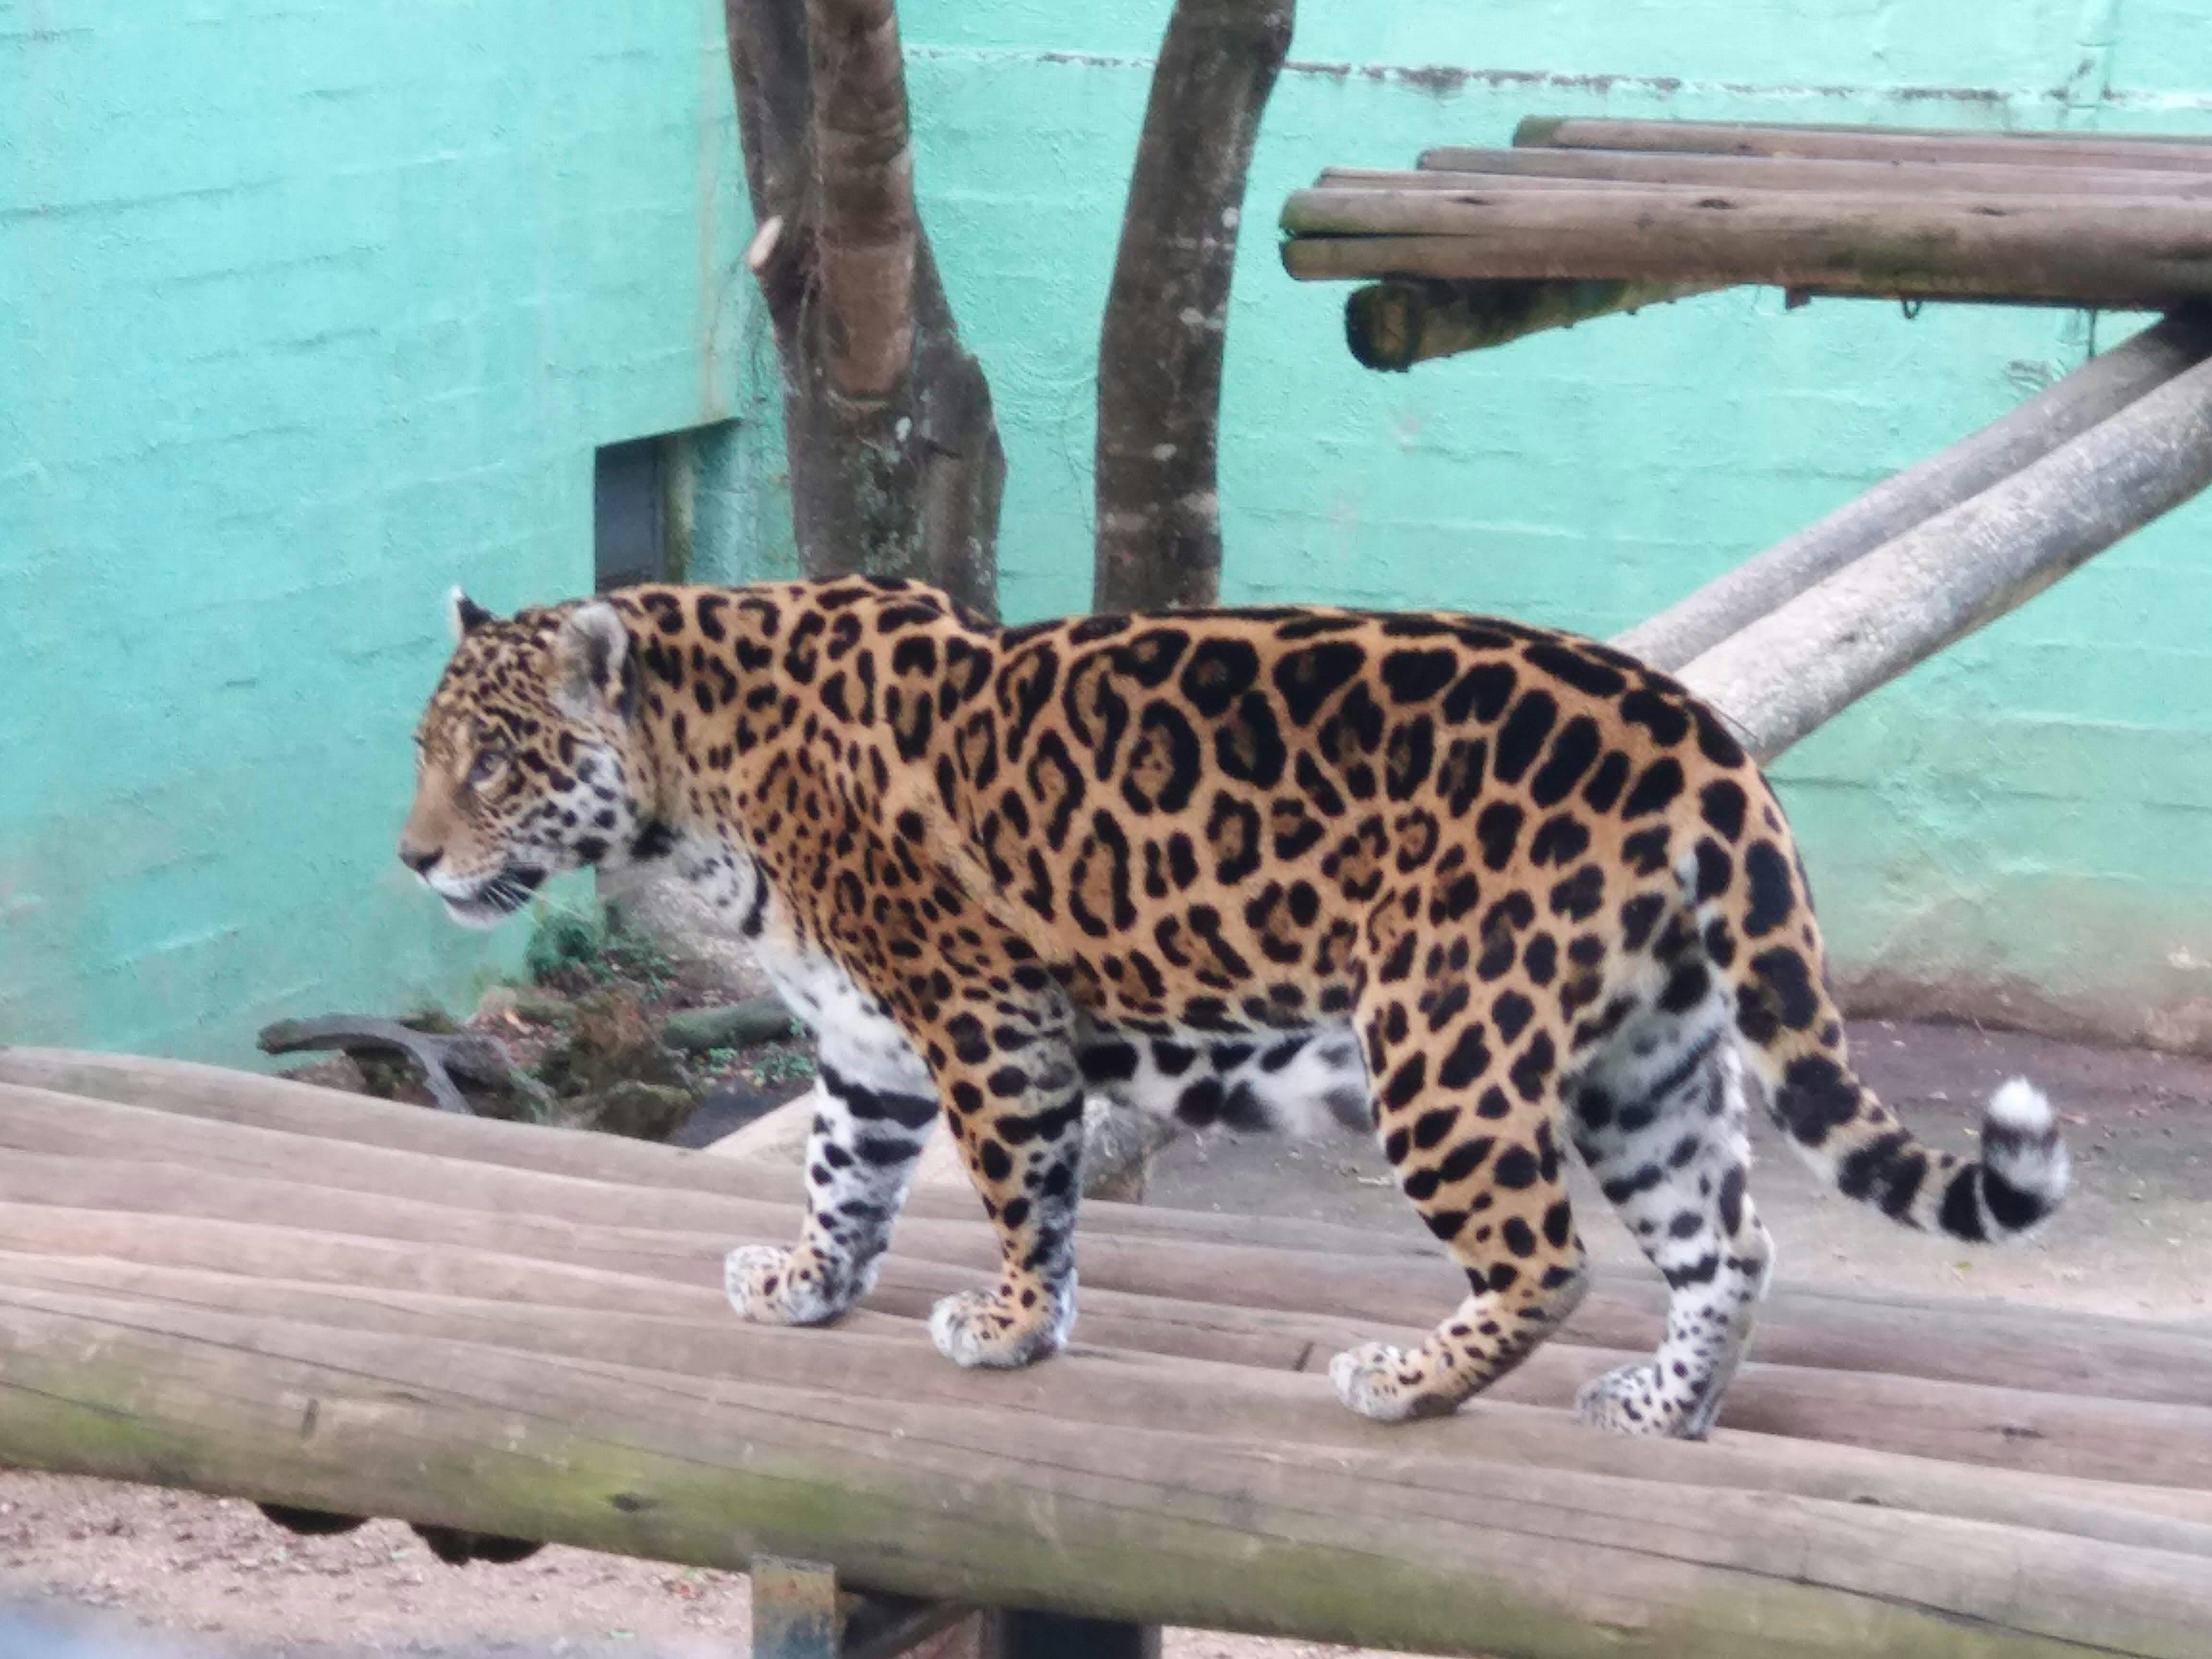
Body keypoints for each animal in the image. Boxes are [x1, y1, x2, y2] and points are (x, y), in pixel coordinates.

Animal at [399, 578, 2068, 1435]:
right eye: (432, 752)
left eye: (493, 761)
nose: (412, 860)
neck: (696, 775)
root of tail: (1701, 741)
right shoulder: (872, 1039)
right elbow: (842, 1171)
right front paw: (811, 1284)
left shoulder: (980, 1011)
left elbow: (1021, 1191)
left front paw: (1012, 1328)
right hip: (1645, 1062)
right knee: (1731, 1238)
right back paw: (1665, 1403)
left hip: (1442, 1044)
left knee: (1549, 1251)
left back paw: (1404, 1381)